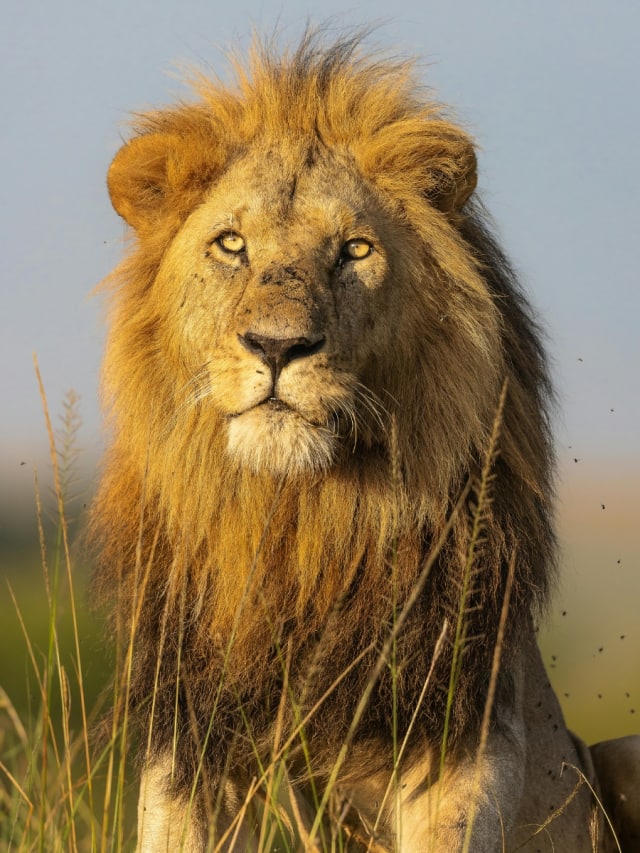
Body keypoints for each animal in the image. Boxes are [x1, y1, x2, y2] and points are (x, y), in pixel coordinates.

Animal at [91, 32, 638, 851]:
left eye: (354, 250)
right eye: (231, 243)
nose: (278, 346)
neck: (301, 524)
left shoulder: (464, 728)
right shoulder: (188, 731)